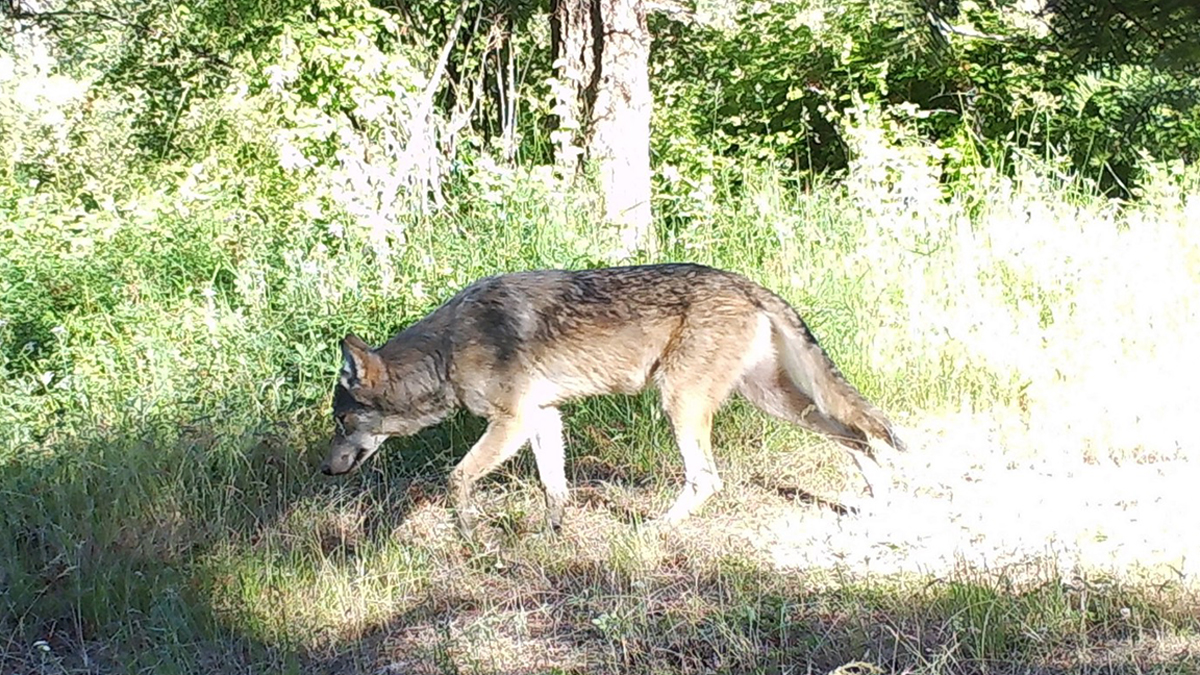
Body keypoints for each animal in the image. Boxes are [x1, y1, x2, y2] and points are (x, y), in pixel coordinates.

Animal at [321, 263, 903, 537]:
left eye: (343, 422)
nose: (326, 470)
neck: (445, 350)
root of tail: (745, 283)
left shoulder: (512, 422)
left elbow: (457, 479)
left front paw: (470, 537)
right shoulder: (543, 419)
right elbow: (554, 488)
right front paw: (549, 536)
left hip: (680, 404)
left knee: (706, 478)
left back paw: (657, 529)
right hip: (775, 401)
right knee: (855, 435)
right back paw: (877, 500)